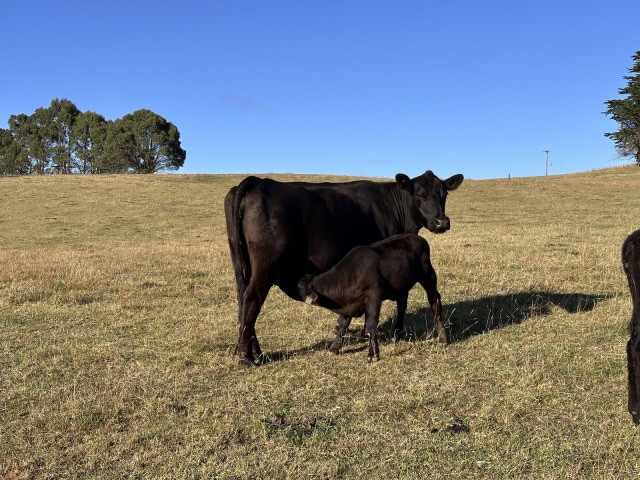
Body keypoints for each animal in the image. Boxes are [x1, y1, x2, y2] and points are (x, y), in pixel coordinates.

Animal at [298, 233, 444, 361]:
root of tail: (418, 238)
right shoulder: (349, 304)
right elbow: (343, 324)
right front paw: (335, 347)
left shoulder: (374, 295)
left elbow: (370, 325)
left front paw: (372, 353)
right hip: (401, 288)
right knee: (402, 307)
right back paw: (396, 335)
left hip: (428, 276)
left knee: (435, 302)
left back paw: (443, 338)